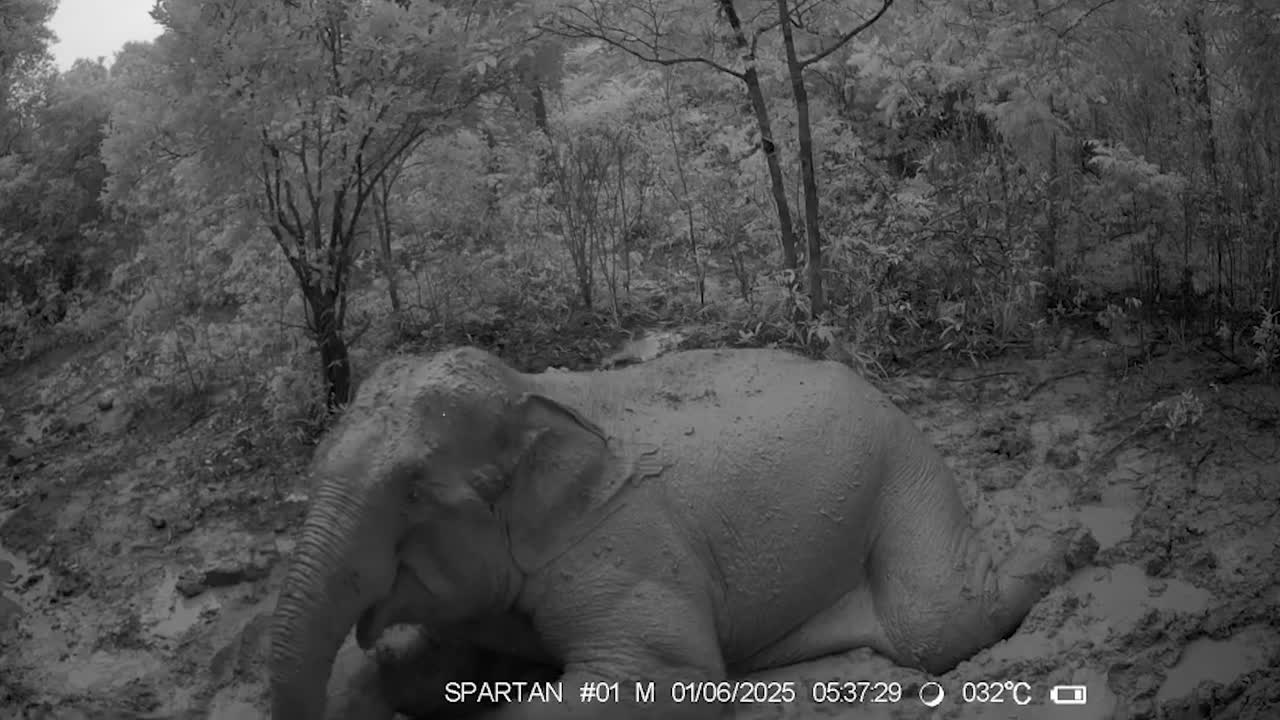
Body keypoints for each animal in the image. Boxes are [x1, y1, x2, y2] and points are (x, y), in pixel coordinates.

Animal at [270, 346, 1096, 720]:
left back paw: (1066, 545)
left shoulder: (625, 547)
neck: (532, 390)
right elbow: (418, 671)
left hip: (901, 465)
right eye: (311, 466)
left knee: (936, 623)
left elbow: (667, 677)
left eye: (412, 491)